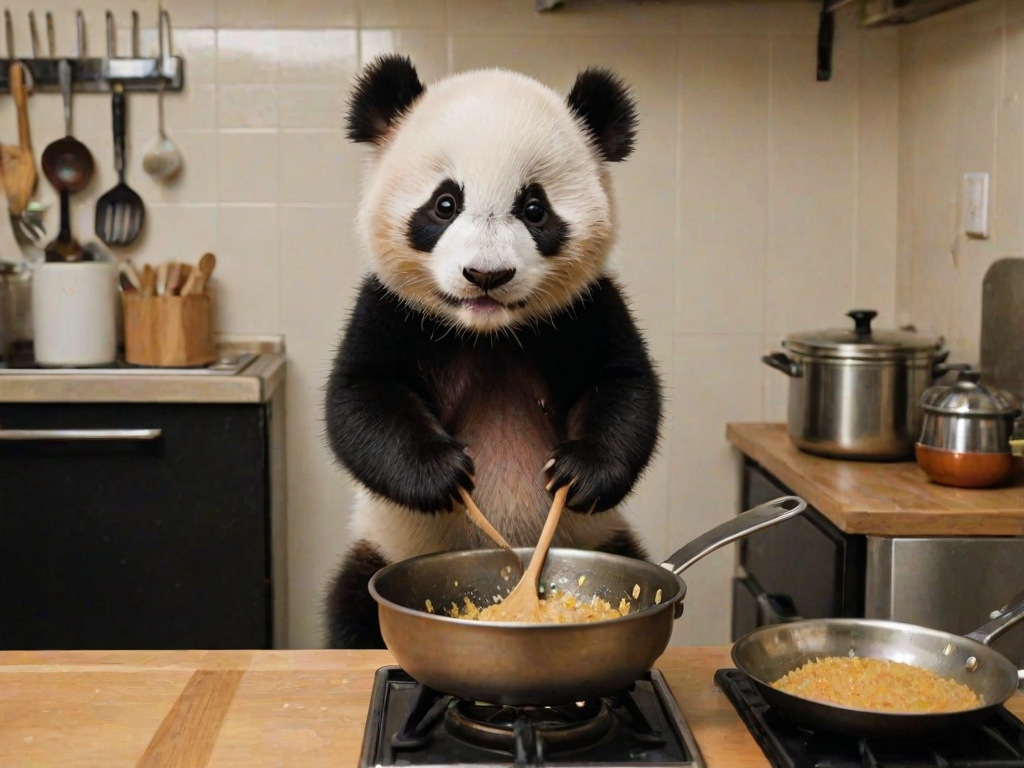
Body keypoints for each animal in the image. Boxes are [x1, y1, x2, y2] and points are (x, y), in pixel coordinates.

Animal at [323, 54, 663, 649]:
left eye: (534, 208)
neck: (488, 332)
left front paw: (581, 472)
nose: (486, 274)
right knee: (351, 606)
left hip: (608, 538)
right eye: (444, 203)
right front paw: (442, 473)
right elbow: (360, 396)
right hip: (381, 549)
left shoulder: (585, 310)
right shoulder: (391, 309)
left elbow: (624, 383)